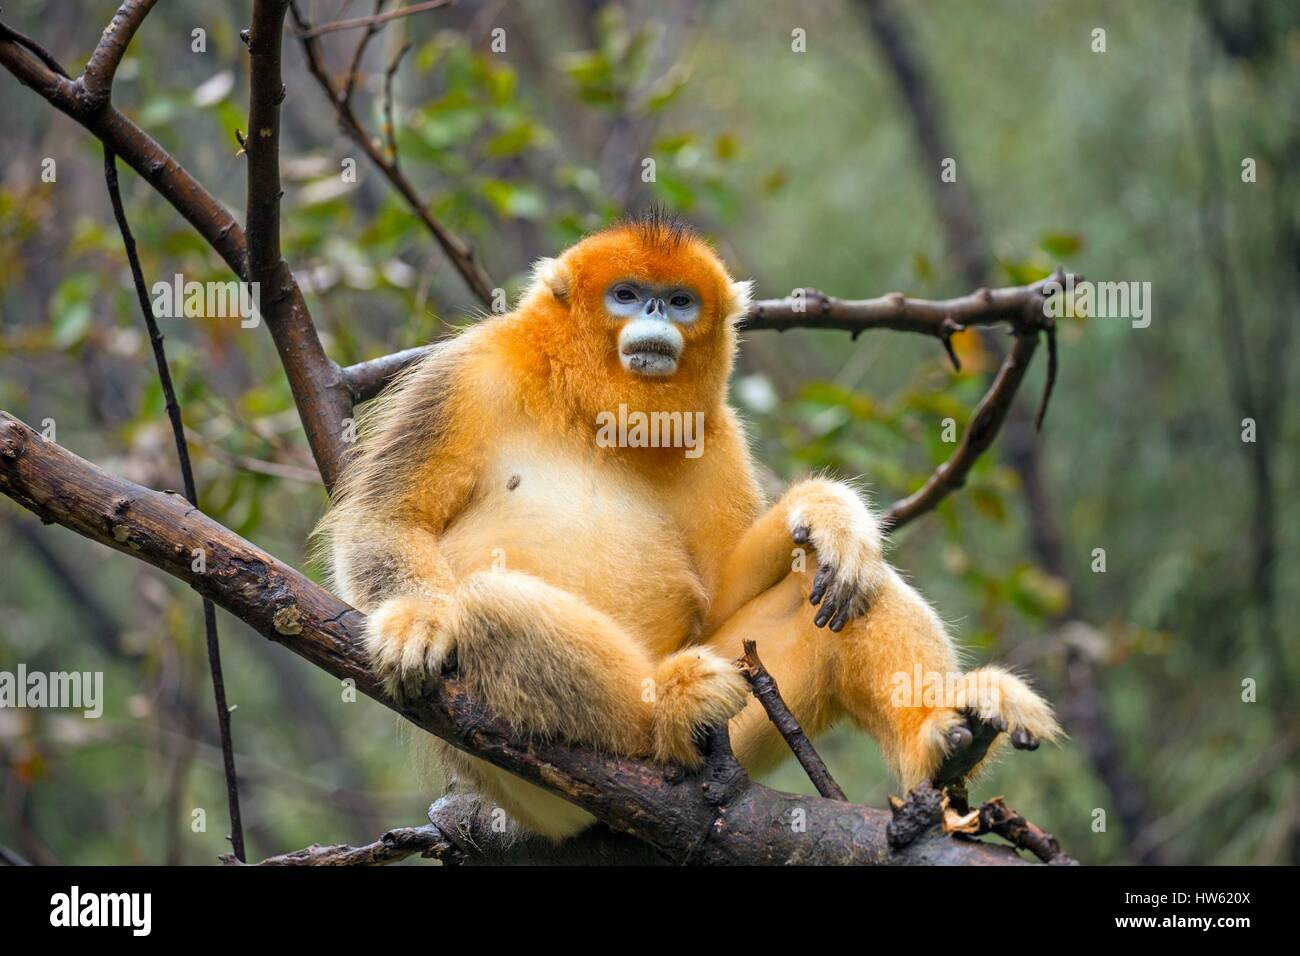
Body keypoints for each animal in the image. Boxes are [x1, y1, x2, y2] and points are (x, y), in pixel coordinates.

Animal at [316, 211, 1060, 839]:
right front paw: (417, 618)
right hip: (524, 786)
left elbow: (721, 592)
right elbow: (388, 519)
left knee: (842, 584)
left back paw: (944, 736)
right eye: (626, 294)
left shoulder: (718, 431)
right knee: (490, 606)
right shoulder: (469, 372)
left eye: (679, 302)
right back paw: (665, 716)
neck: (586, 408)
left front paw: (825, 512)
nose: (653, 315)